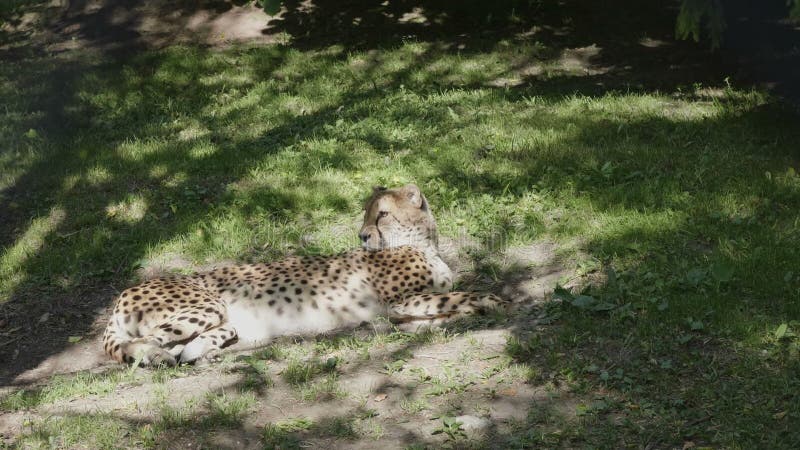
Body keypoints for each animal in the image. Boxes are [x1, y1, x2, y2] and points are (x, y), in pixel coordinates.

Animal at [102, 184, 507, 366]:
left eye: (382, 214)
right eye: (367, 214)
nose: (362, 236)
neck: (423, 243)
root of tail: (124, 291)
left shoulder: (405, 307)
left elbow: (444, 304)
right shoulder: (401, 301)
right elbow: (458, 295)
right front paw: (492, 299)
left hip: (225, 323)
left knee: (181, 346)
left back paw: (200, 355)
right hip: (208, 306)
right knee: (142, 345)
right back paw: (157, 358)